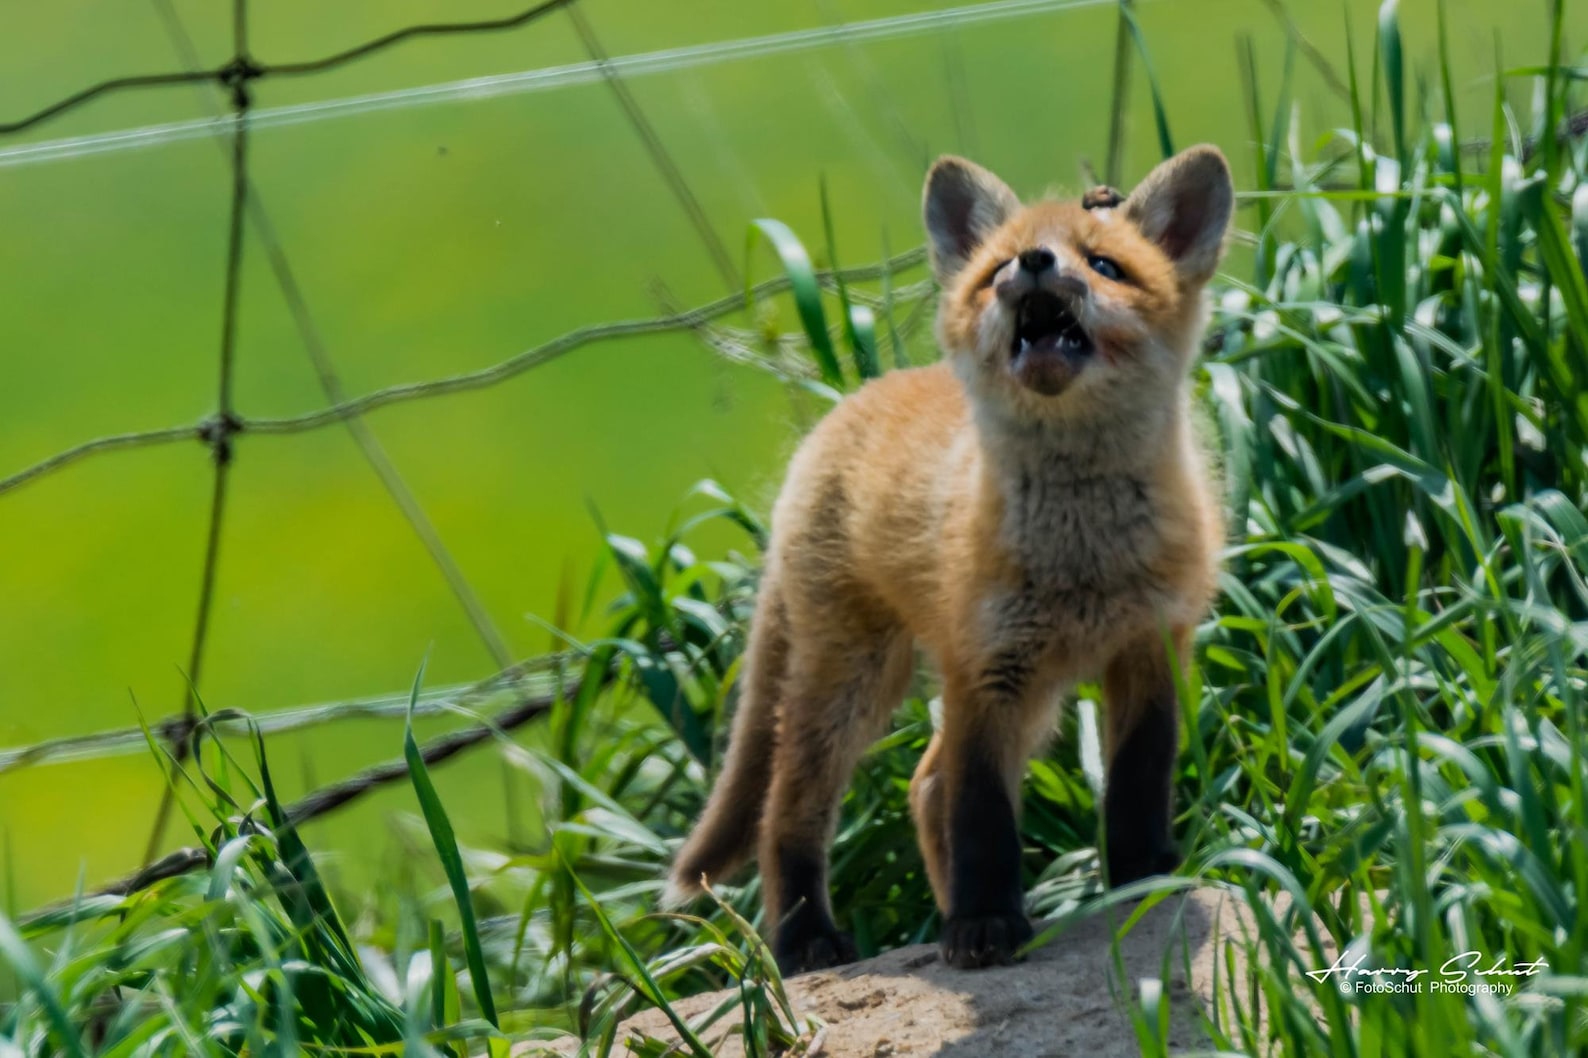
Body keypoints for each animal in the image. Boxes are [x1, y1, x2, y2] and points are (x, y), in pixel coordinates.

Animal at [664, 145, 1233, 973]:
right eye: (995, 269)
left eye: (1104, 265)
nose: (1032, 263)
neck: (1082, 559)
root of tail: (847, 408)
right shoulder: (983, 669)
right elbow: (982, 816)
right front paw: (984, 924)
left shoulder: (1151, 650)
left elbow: (1134, 785)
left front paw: (1143, 881)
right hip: (855, 678)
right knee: (792, 806)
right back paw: (806, 938)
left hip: (1028, 699)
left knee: (924, 784)